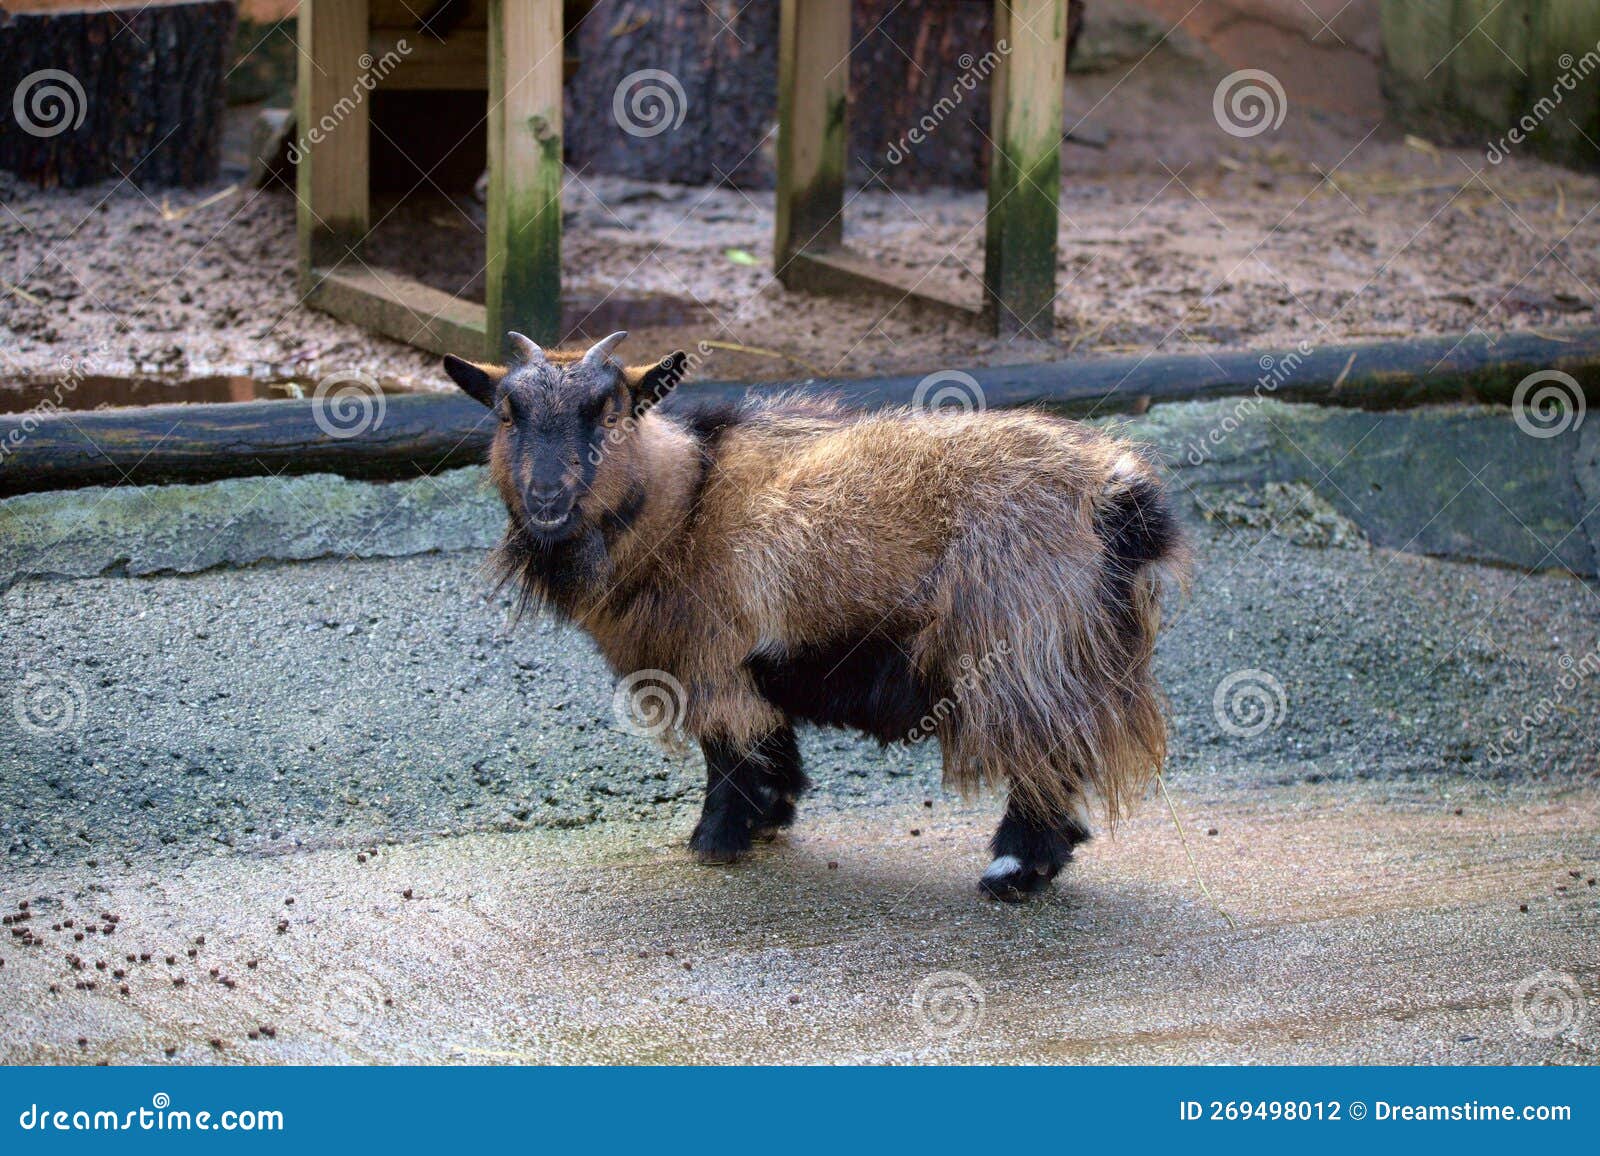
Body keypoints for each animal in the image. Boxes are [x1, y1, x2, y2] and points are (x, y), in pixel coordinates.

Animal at [444, 331, 1185, 900]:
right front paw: (771, 817)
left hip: (1024, 645)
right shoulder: (751, 664)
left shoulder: (714, 662)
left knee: (1045, 752)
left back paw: (1014, 869)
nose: (546, 498)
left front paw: (716, 839)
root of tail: (1121, 493)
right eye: (506, 413)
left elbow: (729, 757)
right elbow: (771, 746)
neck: (686, 504)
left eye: (610, 412)